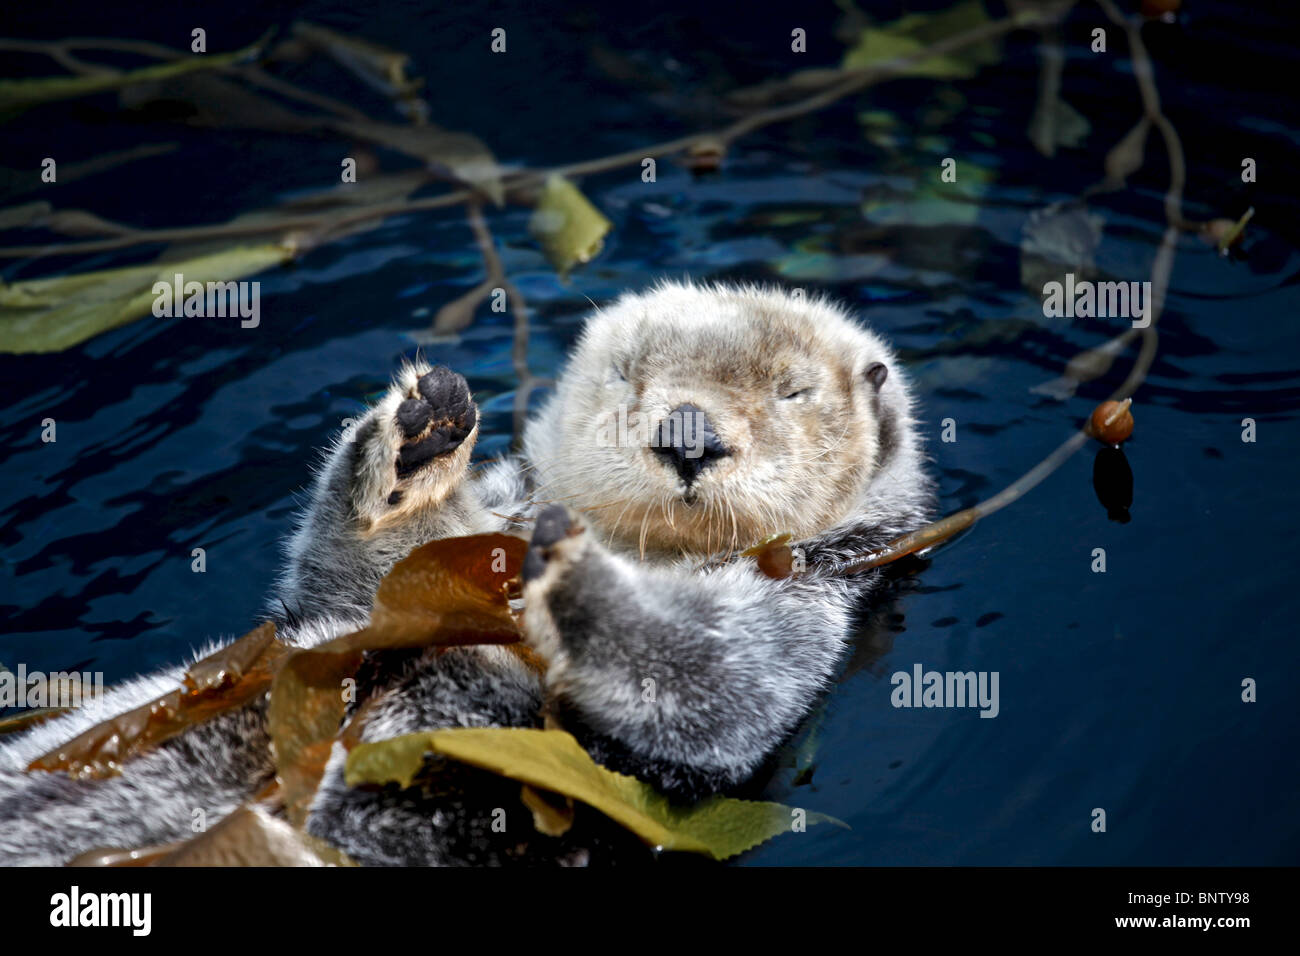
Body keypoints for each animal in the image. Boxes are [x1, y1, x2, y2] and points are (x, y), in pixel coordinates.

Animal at [0, 281, 932, 866]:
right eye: (626, 376)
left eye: (793, 392)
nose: (689, 435)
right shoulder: (401, 570)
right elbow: (351, 581)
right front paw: (415, 440)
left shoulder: (807, 606)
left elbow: (718, 687)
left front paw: (575, 576)